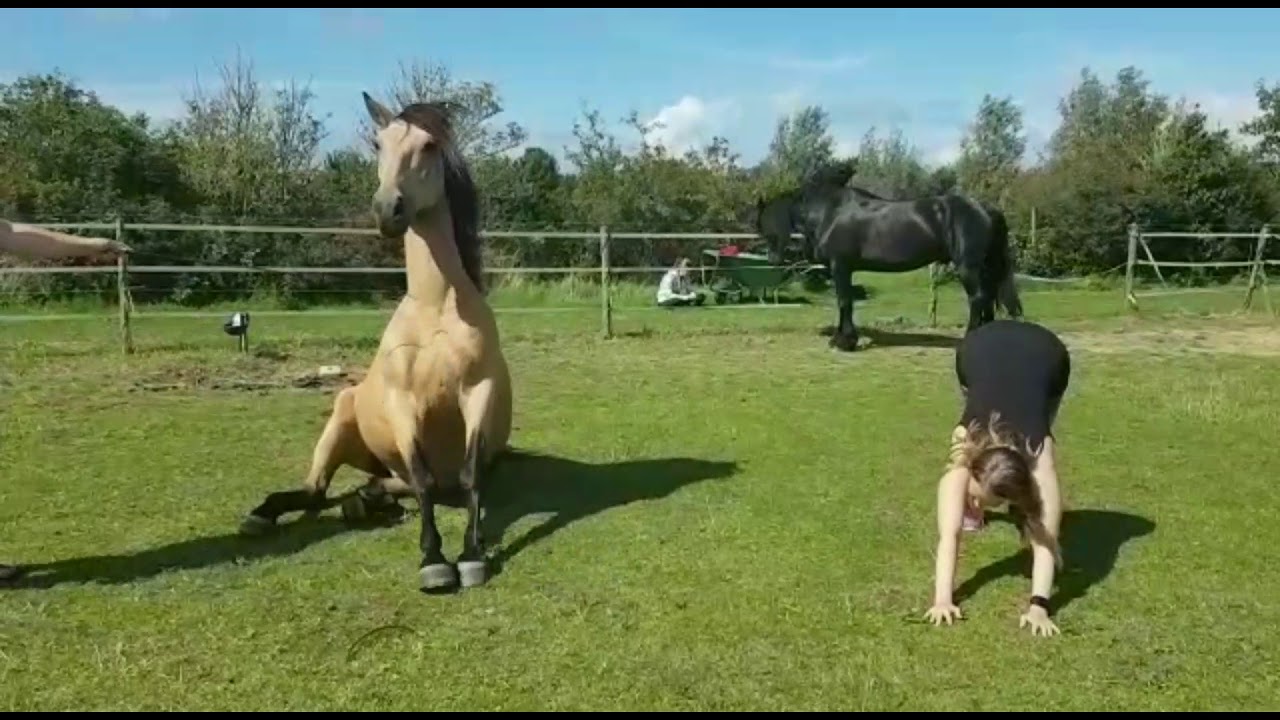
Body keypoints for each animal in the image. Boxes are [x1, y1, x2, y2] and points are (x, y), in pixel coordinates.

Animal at [239, 92, 514, 594]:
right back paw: (263, 515)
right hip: (339, 428)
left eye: (429, 145)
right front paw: (433, 561)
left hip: (388, 467)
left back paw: (365, 502)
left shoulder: (477, 393)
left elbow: (469, 478)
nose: (388, 210)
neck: (435, 308)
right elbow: (424, 480)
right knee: (317, 491)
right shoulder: (403, 402)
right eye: (377, 143)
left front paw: (470, 556)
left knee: (366, 490)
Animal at [754, 175, 1023, 352]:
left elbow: (844, 302)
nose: (772, 259)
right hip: (984, 267)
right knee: (988, 298)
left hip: (968, 267)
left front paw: (845, 342)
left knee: (978, 299)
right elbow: (843, 303)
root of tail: (985, 208)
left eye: (767, 223)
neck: (831, 212)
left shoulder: (841, 267)